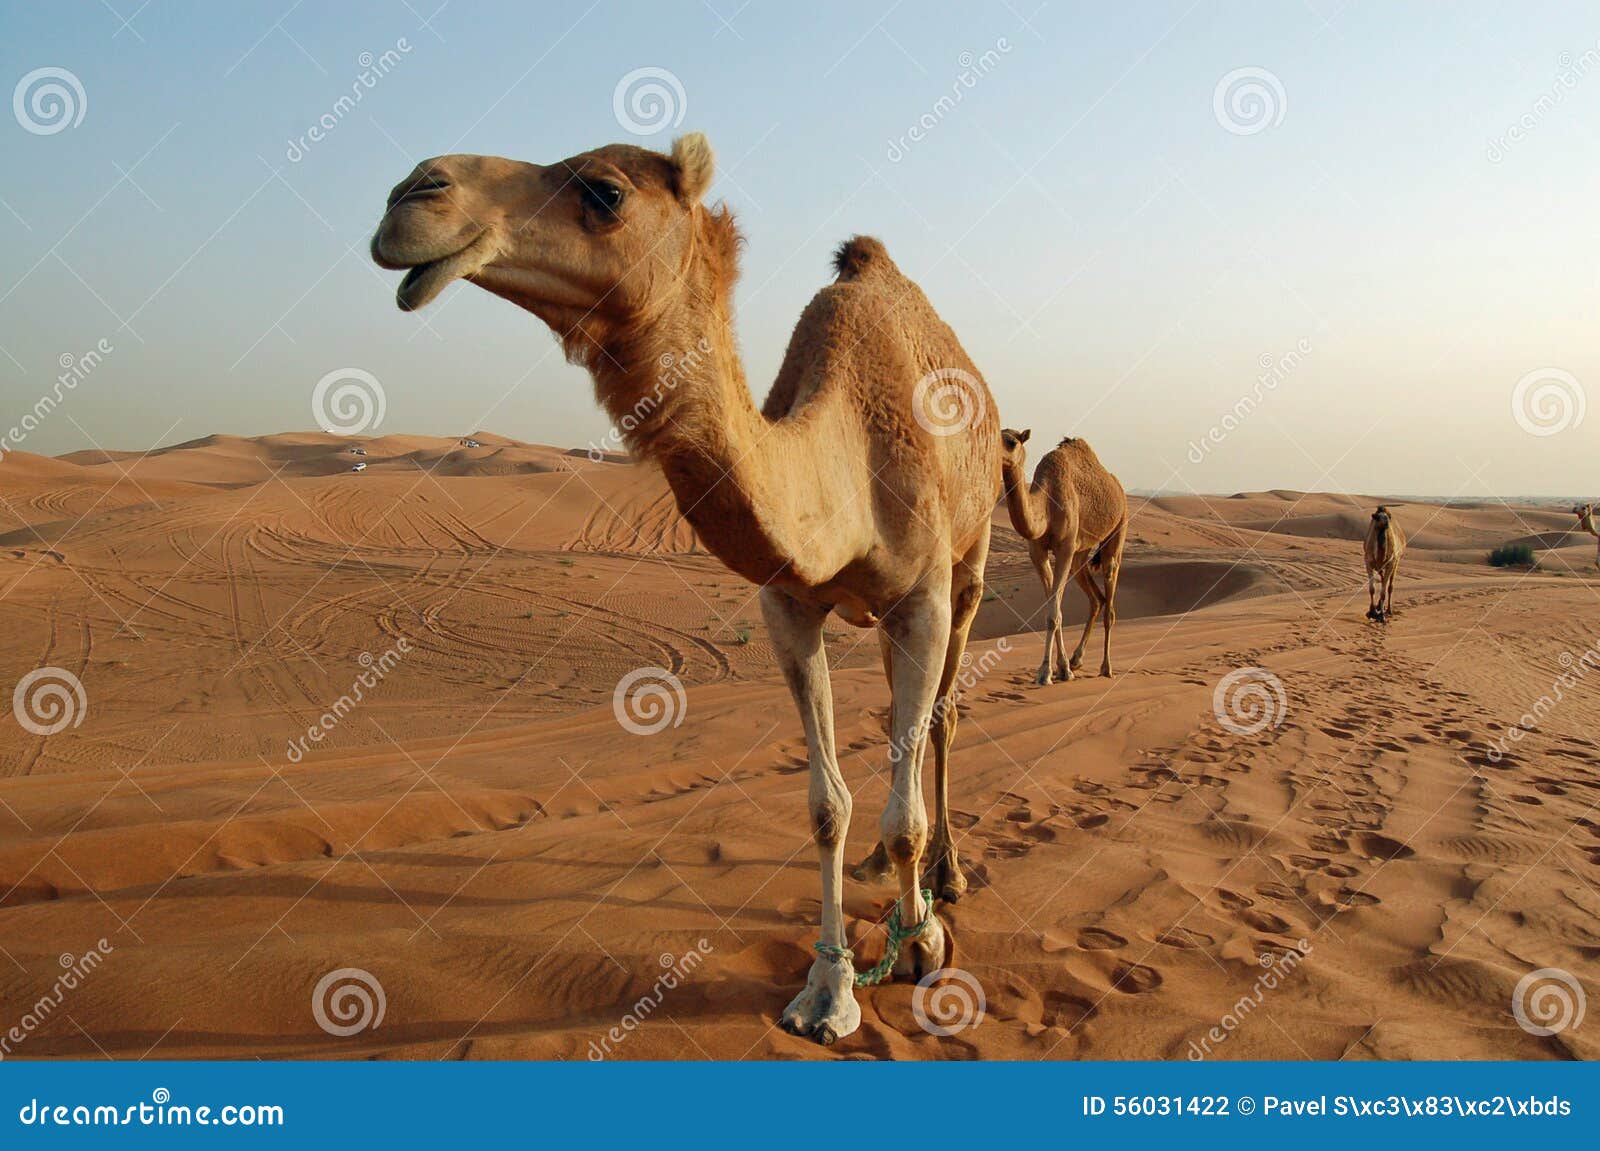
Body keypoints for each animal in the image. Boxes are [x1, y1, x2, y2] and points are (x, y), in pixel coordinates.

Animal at [371, 134, 1001, 1045]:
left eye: (604, 191)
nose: (411, 196)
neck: (846, 458)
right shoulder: (787, 601)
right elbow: (828, 805)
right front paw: (828, 985)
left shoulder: (923, 598)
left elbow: (903, 807)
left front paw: (919, 944)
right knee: (897, 726)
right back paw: (885, 870)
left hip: (972, 562)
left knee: (942, 718)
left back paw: (943, 876)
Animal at [998, 428, 1128, 683]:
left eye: (1011, 441)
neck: (1046, 504)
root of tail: (1118, 486)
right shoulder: (1037, 552)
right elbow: (1054, 608)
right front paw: (1062, 666)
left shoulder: (1065, 548)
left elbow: (1053, 614)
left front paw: (1046, 672)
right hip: (1081, 554)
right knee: (1097, 599)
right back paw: (1077, 659)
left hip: (1119, 526)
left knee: (1110, 599)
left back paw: (1106, 668)